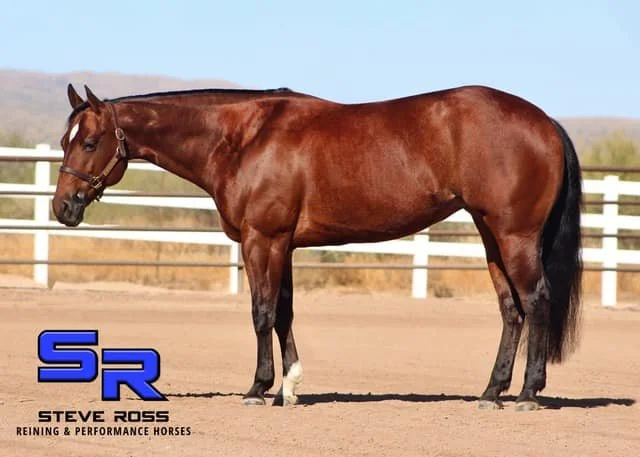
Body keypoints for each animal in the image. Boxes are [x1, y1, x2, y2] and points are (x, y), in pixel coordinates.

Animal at [53, 83, 582, 411]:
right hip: (491, 236)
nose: (63, 208)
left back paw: (528, 394)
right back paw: (491, 392)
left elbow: (262, 312)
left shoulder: (262, 240)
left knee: (535, 302)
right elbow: (284, 312)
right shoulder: (283, 244)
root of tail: (545, 121)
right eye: (64, 140)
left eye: (90, 142)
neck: (244, 139)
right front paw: (290, 388)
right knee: (511, 310)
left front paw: (258, 388)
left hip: (514, 236)